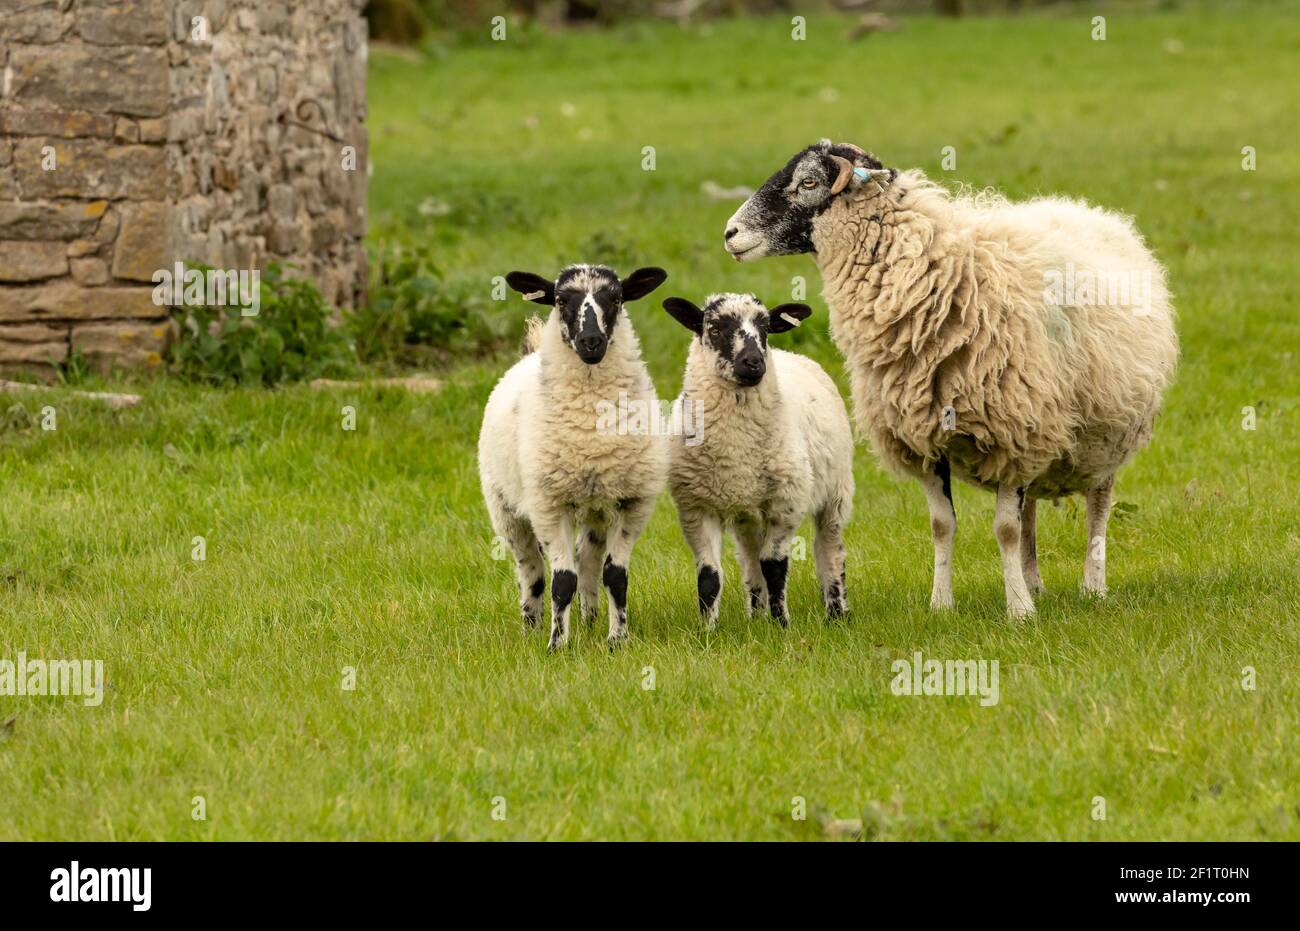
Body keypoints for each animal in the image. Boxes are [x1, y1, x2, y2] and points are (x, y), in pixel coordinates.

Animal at [479, 263, 669, 650]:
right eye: (561, 300)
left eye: (616, 298)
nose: (591, 342)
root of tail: (532, 351)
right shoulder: (550, 504)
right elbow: (561, 580)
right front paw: (557, 645)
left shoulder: (632, 502)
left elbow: (616, 576)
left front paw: (618, 641)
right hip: (506, 509)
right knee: (531, 570)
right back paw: (531, 626)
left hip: (596, 509)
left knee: (588, 560)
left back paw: (590, 619)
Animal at [662, 292, 855, 628]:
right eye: (714, 327)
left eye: (765, 327)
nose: (754, 362)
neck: (735, 448)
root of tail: (792, 354)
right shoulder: (696, 508)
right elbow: (709, 576)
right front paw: (707, 630)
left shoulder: (786, 503)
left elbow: (774, 566)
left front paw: (781, 625)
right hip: (747, 512)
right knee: (750, 556)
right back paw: (755, 614)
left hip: (836, 491)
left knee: (829, 549)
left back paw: (835, 612)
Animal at [724, 140, 1178, 618]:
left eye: (808, 181)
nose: (730, 233)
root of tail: (1088, 212)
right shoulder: (925, 441)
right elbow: (943, 525)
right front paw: (942, 604)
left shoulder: (1013, 431)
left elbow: (1005, 530)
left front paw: (1018, 610)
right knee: (1032, 509)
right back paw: (1034, 581)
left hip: (1108, 435)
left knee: (1098, 507)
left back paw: (1092, 585)